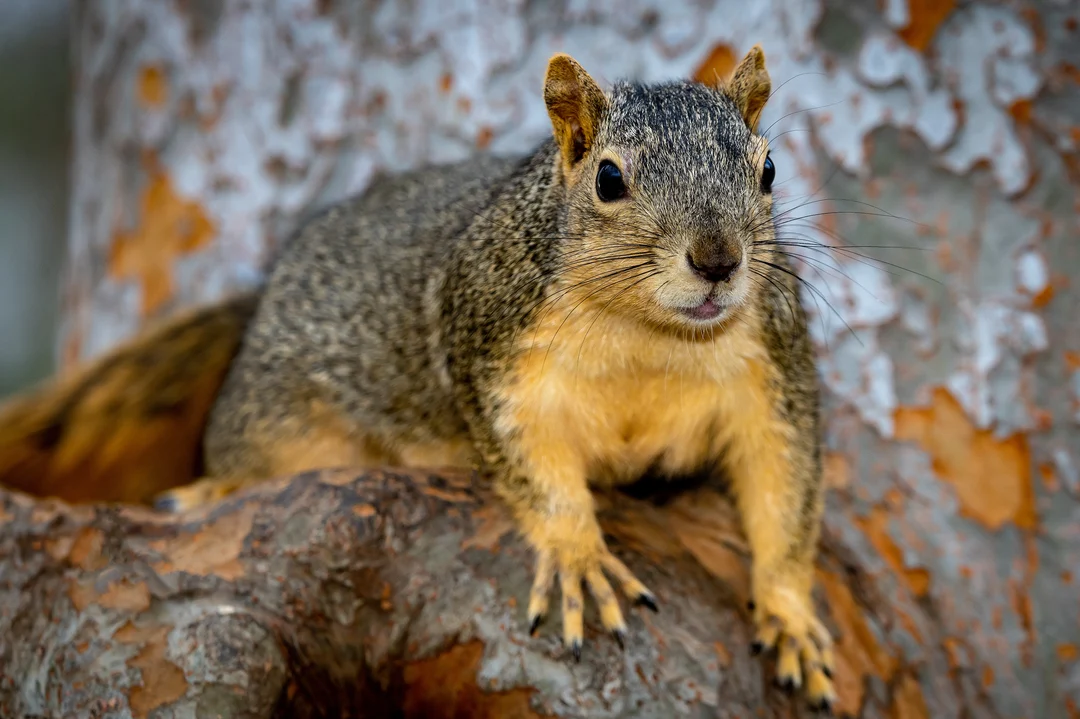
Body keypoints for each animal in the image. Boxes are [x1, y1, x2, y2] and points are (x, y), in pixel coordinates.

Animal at [0, 46, 836, 710]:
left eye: (767, 169)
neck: (651, 336)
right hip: (278, 418)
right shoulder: (491, 352)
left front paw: (790, 614)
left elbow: (784, 488)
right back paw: (214, 486)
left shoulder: (772, 372)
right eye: (607, 178)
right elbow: (533, 467)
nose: (719, 260)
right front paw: (576, 553)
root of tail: (264, 301)